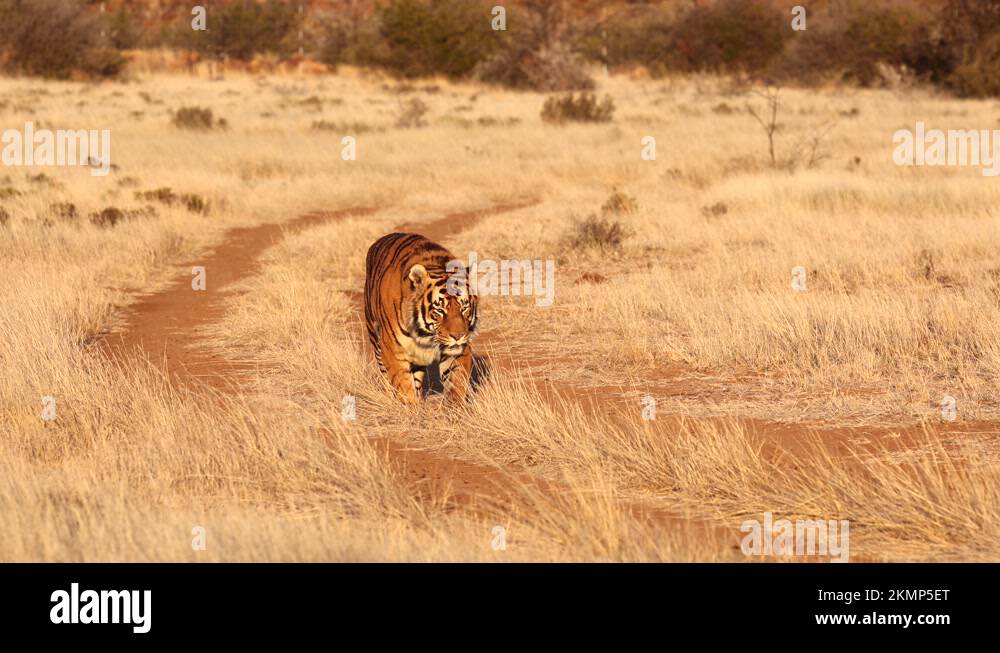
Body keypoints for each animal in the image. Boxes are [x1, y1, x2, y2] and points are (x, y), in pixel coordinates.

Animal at [364, 232, 478, 404]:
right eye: (439, 310)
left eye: (464, 308)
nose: (458, 336)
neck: (425, 335)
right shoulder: (393, 351)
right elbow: (403, 388)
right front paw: (409, 408)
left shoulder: (458, 352)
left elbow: (457, 381)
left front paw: (455, 407)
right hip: (375, 338)